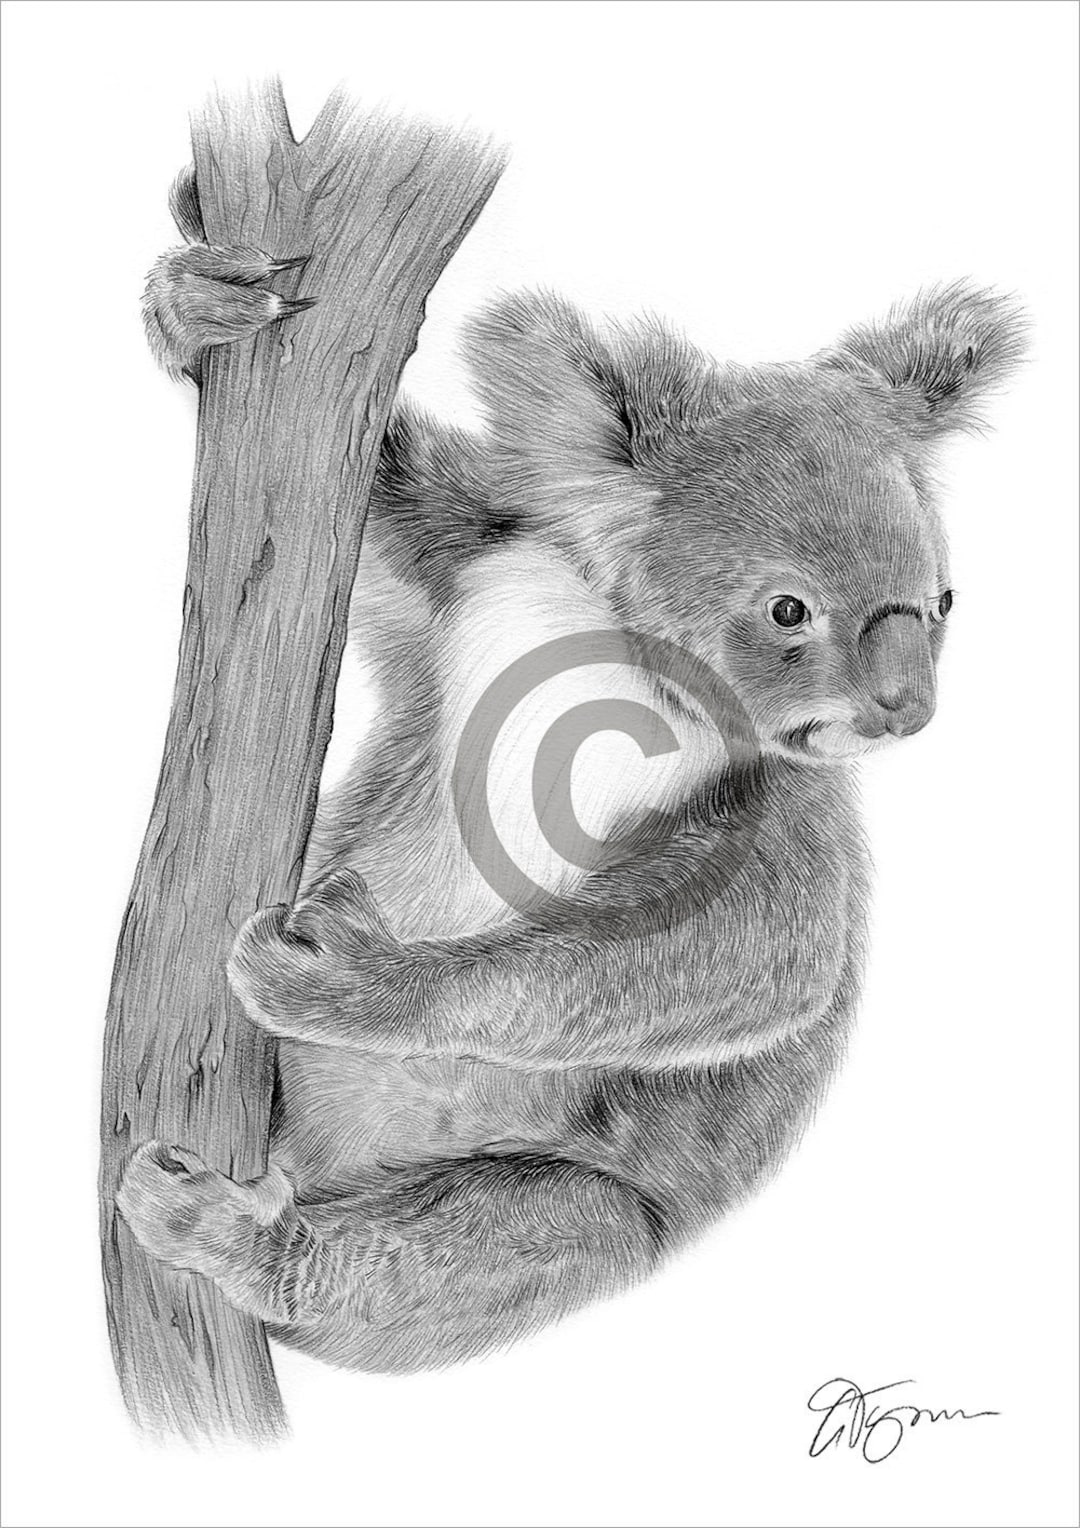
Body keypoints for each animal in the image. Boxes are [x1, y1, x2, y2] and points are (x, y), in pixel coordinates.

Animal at [119, 168, 1026, 1373]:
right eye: (789, 609)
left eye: (945, 600)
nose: (907, 709)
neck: (627, 654)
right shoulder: (479, 568)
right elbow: (363, 497)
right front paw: (201, 300)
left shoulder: (772, 815)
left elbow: (763, 952)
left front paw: (357, 978)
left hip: (578, 1214)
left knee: (500, 1238)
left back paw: (234, 1236)